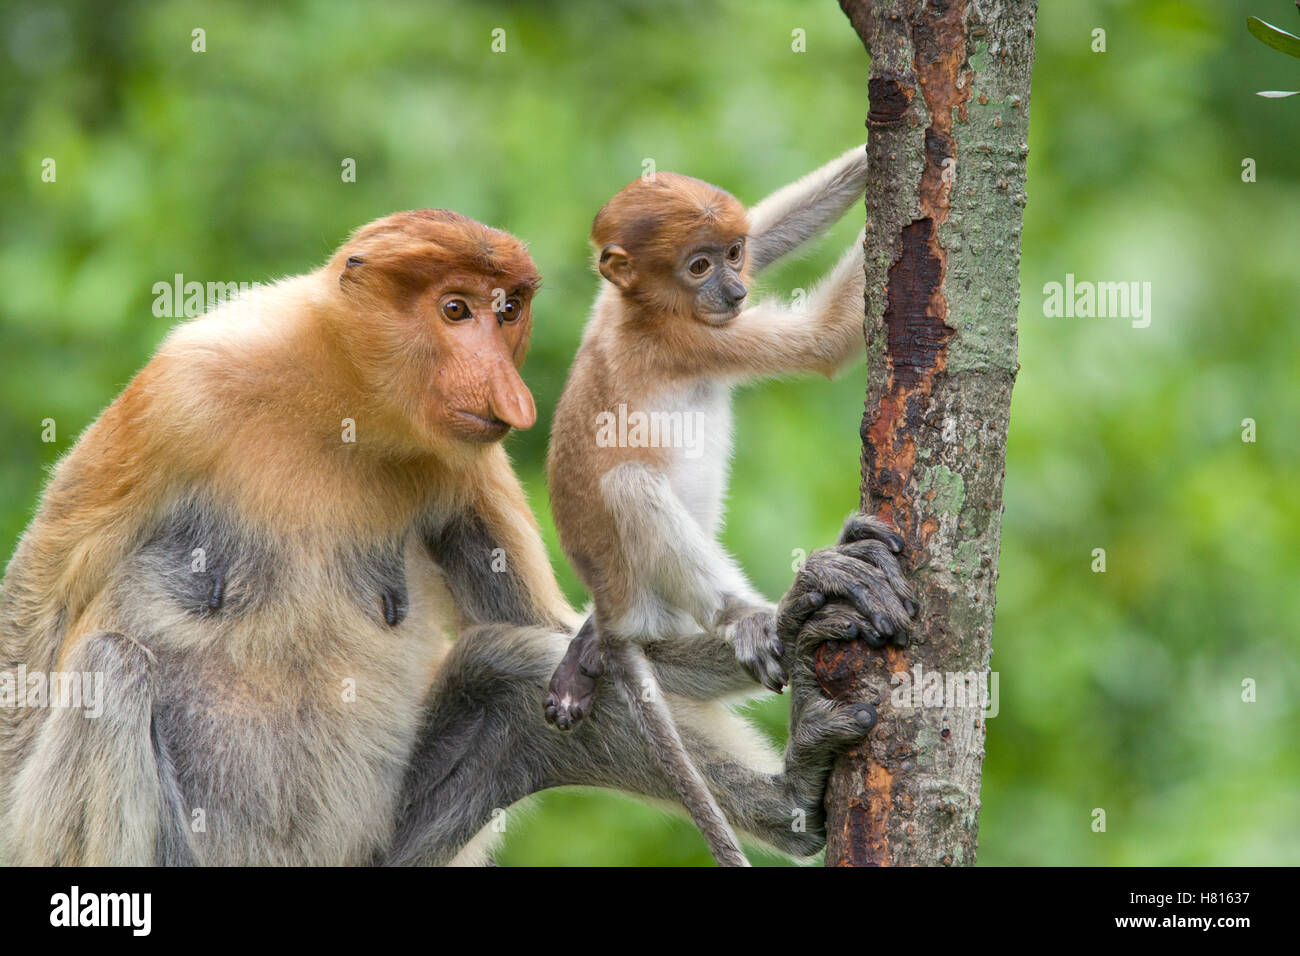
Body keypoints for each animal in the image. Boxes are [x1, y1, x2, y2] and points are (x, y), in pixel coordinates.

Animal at [0, 207, 908, 867]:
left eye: (505, 312)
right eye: (454, 309)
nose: (504, 385)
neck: (343, 398)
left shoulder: (467, 463)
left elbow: (555, 628)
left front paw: (804, 604)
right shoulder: (182, 392)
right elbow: (46, 586)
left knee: (511, 669)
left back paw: (794, 798)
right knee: (111, 668)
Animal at [542, 147, 918, 866]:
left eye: (734, 254)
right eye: (698, 267)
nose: (736, 292)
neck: (641, 311)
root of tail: (610, 606)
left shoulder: (605, 302)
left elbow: (774, 225)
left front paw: (875, 150)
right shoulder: (692, 338)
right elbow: (824, 341)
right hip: (643, 588)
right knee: (631, 484)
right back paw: (767, 615)